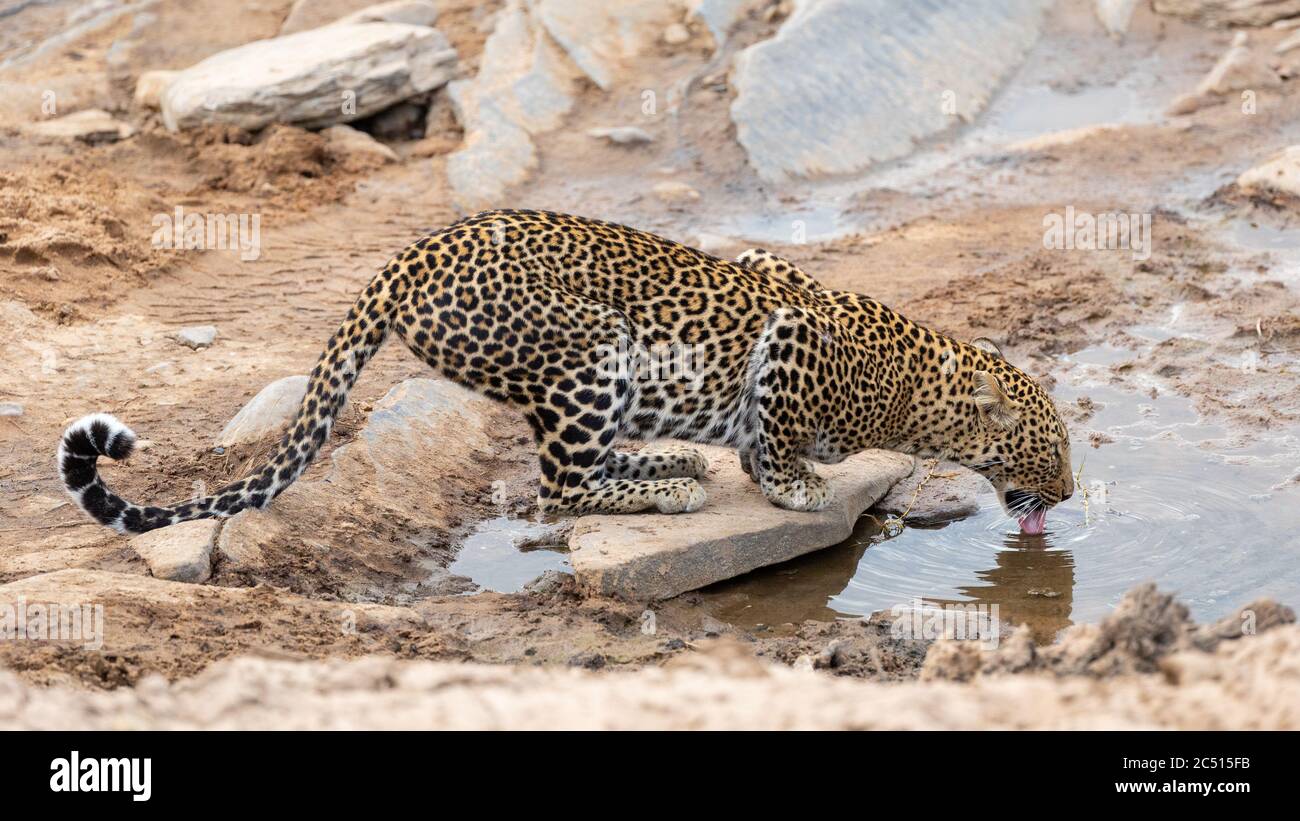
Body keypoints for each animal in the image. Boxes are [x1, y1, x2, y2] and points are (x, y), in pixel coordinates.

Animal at [58, 209, 1073, 537]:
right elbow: (779, 439)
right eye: (1055, 446)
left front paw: (761, 470)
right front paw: (799, 487)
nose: (1067, 494)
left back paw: (672, 466)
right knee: (555, 488)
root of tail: (406, 258)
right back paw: (668, 488)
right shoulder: (791, 341)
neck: (914, 386)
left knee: (572, 468)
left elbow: (755, 438)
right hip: (594, 348)